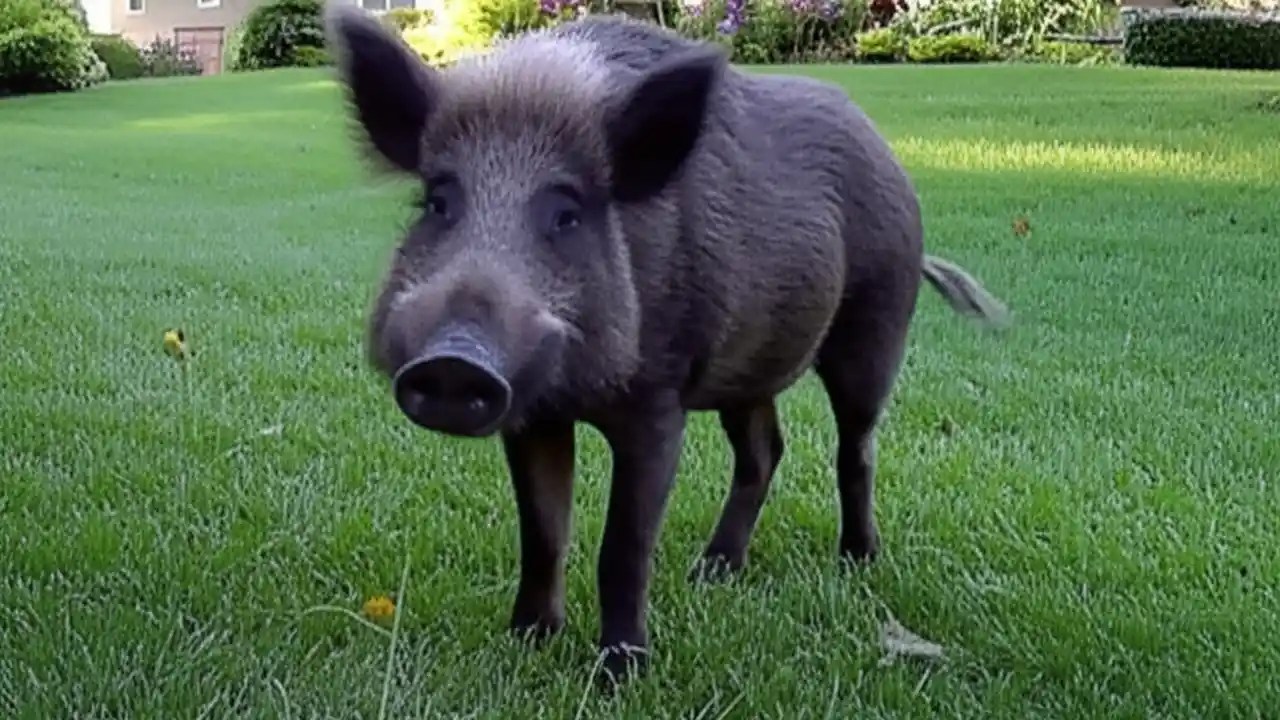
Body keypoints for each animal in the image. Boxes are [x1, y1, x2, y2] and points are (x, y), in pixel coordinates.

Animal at [323, 4, 1010, 683]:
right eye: (437, 202)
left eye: (568, 215)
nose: (453, 361)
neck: (583, 391)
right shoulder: (532, 410)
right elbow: (543, 530)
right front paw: (525, 643)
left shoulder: (658, 397)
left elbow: (624, 544)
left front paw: (619, 676)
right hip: (746, 370)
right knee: (764, 450)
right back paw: (712, 572)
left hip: (875, 321)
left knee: (857, 445)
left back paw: (857, 562)